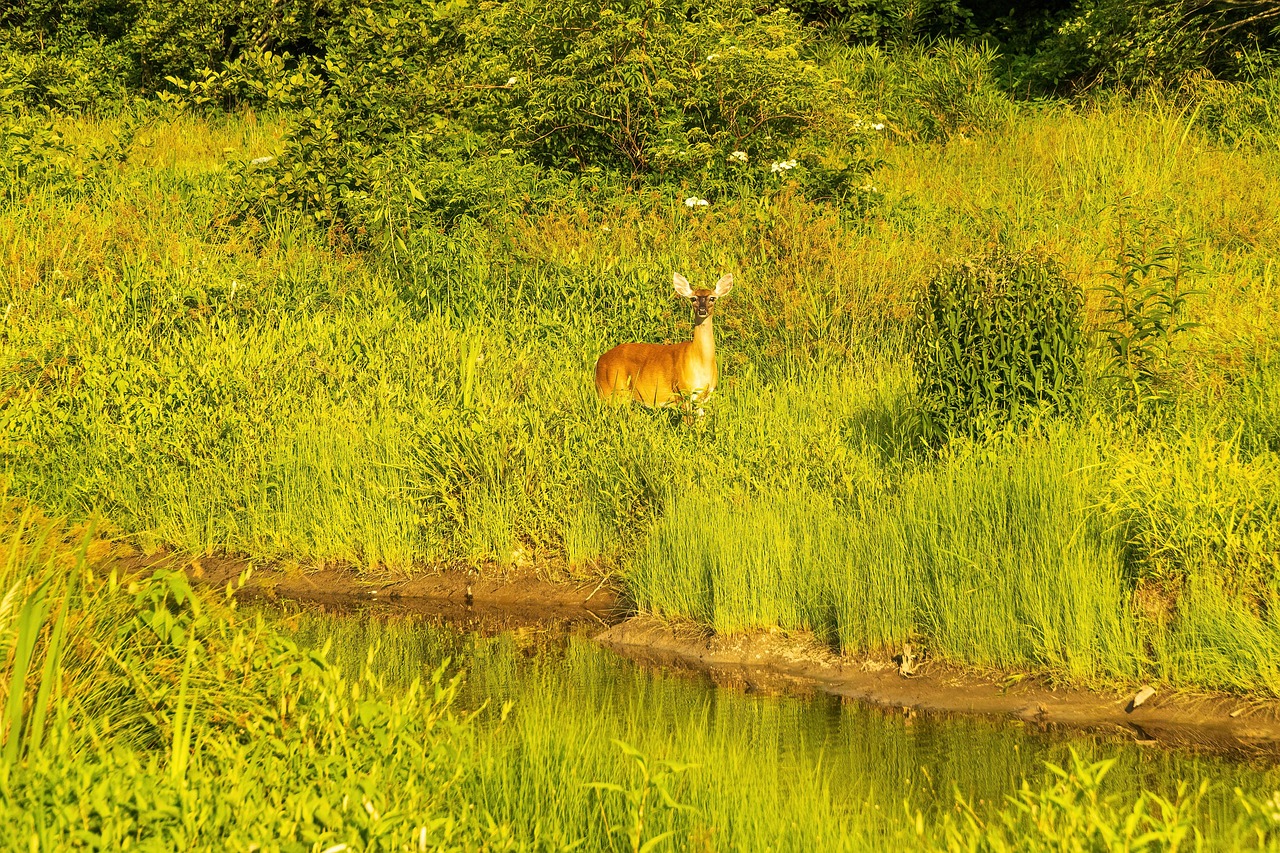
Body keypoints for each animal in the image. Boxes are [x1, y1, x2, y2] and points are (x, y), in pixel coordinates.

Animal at [594, 273, 733, 413]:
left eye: (712, 298)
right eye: (693, 298)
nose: (702, 310)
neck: (701, 361)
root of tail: (599, 360)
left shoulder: (703, 397)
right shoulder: (682, 391)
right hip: (611, 390)